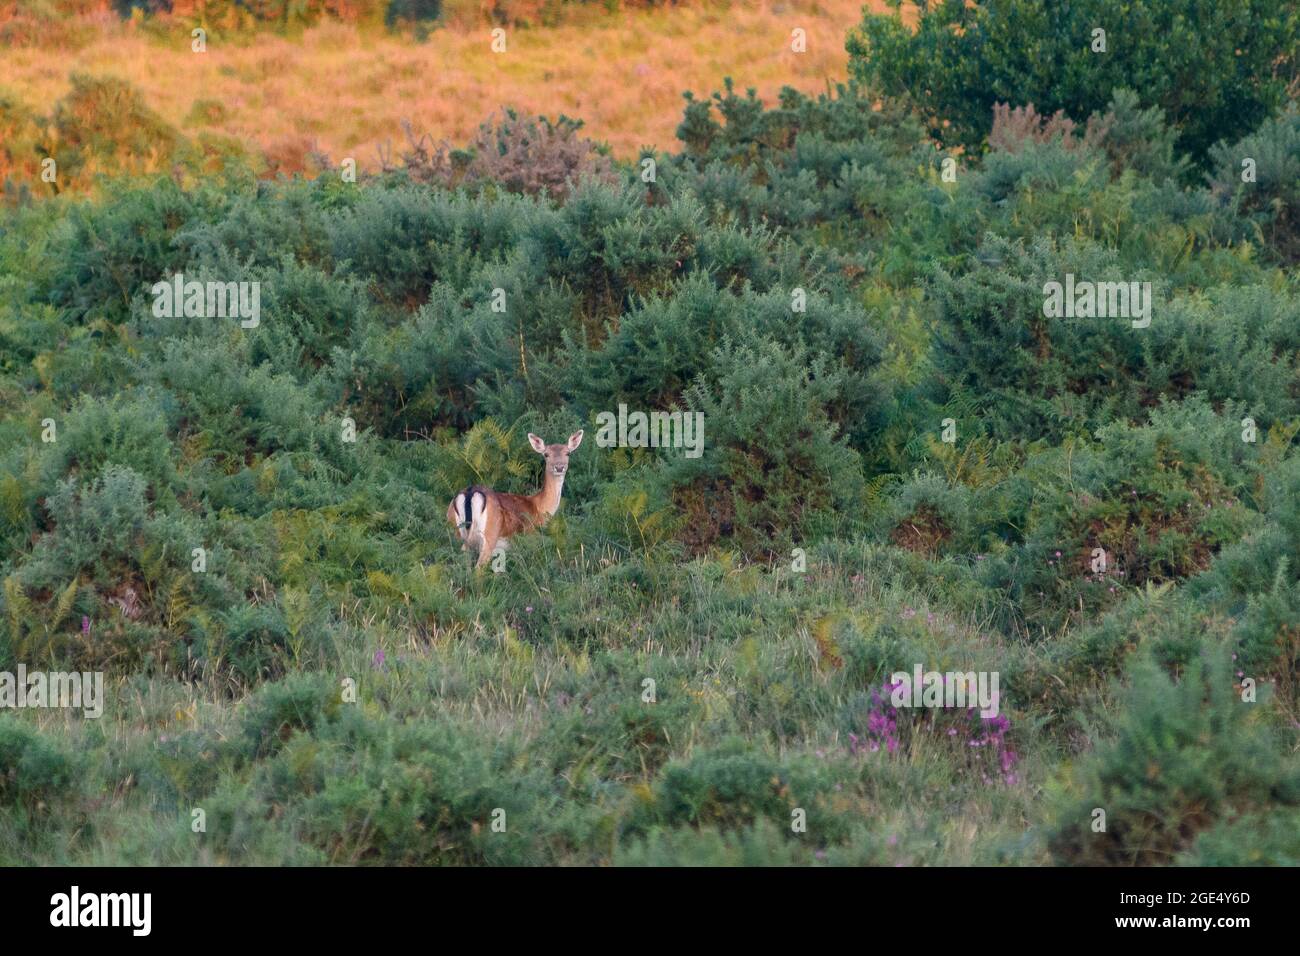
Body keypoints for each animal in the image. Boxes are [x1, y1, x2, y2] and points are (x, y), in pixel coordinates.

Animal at [447, 431, 584, 569]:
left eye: (568, 453)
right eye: (546, 454)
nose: (559, 467)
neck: (538, 507)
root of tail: (470, 493)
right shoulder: (530, 535)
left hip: (456, 531)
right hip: (489, 535)